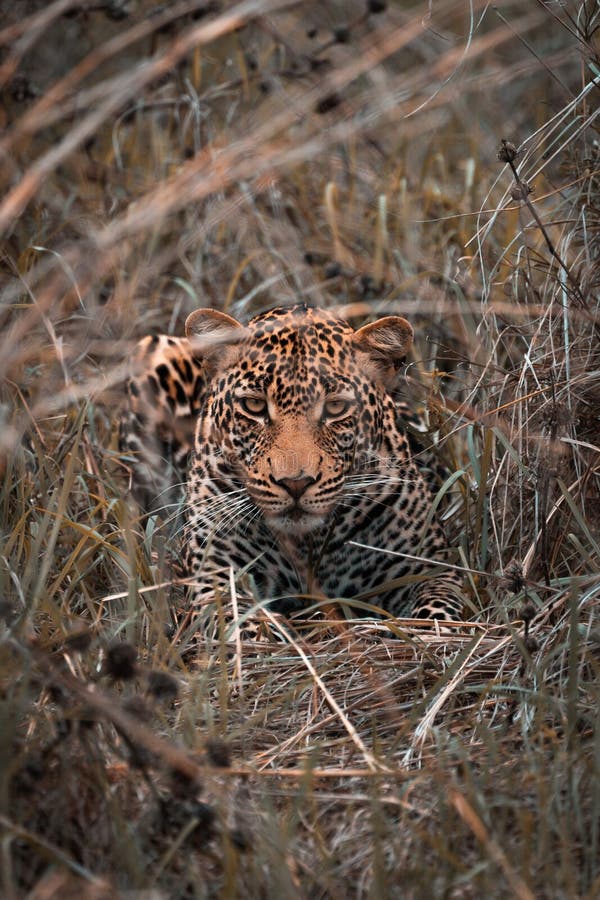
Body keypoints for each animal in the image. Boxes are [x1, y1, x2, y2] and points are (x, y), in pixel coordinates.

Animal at [120, 304, 464, 622]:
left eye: (336, 407)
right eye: (254, 405)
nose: (295, 483)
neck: (307, 544)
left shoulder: (434, 569)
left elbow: (439, 616)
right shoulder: (217, 576)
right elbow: (238, 626)